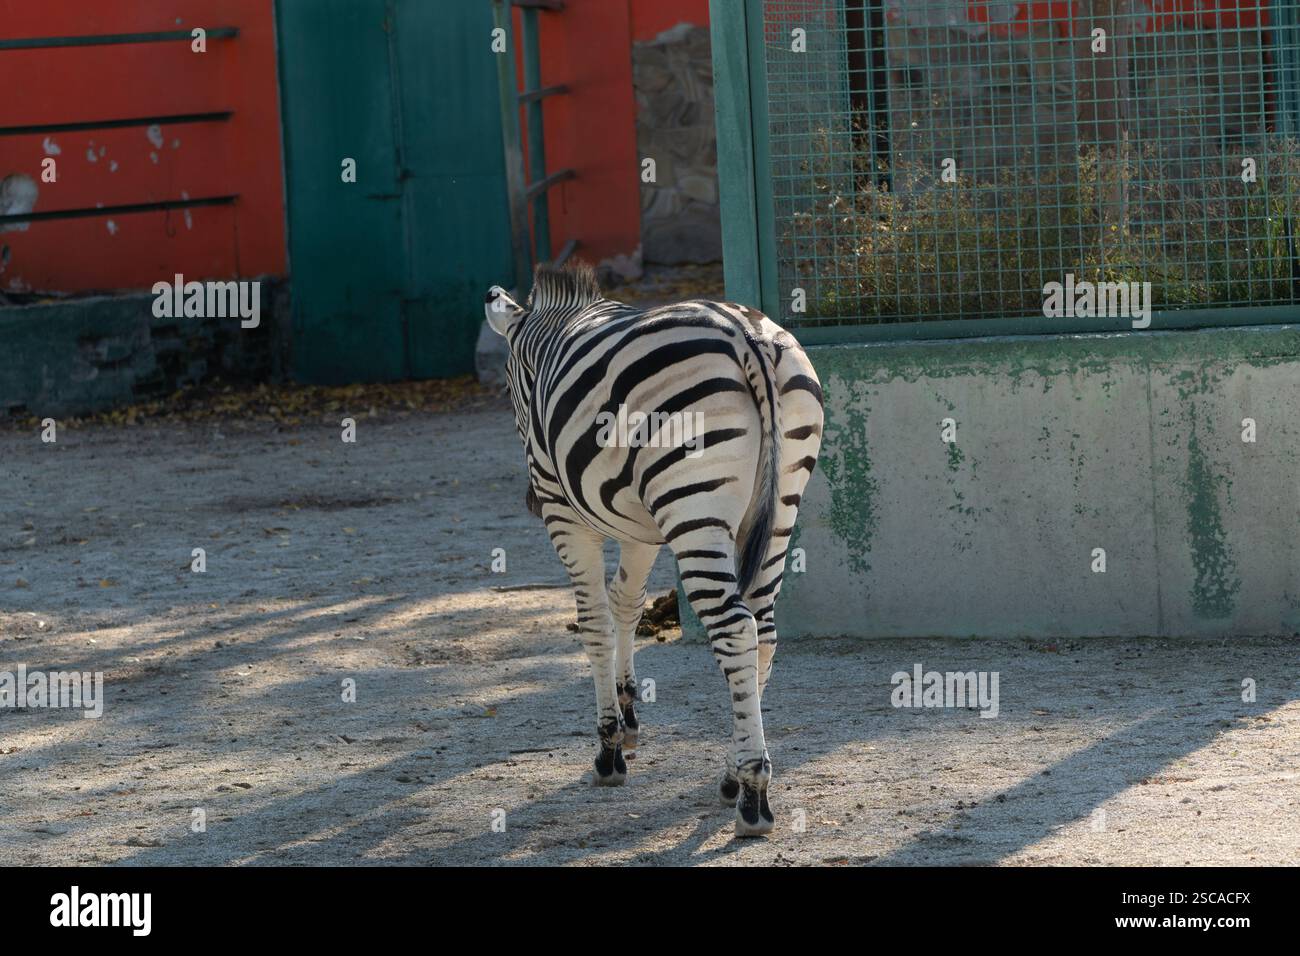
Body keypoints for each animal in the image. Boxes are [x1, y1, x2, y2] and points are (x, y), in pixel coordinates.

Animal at [484, 262, 823, 837]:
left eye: (510, 387)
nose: (527, 501)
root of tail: (746, 334)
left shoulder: (565, 515)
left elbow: (593, 620)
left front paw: (609, 749)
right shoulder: (636, 525)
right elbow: (628, 603)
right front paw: (628, 713)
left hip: (692, 507)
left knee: (735, 628)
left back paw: (753, 795)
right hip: (780, 505)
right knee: (763, 628)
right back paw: (731, 774)